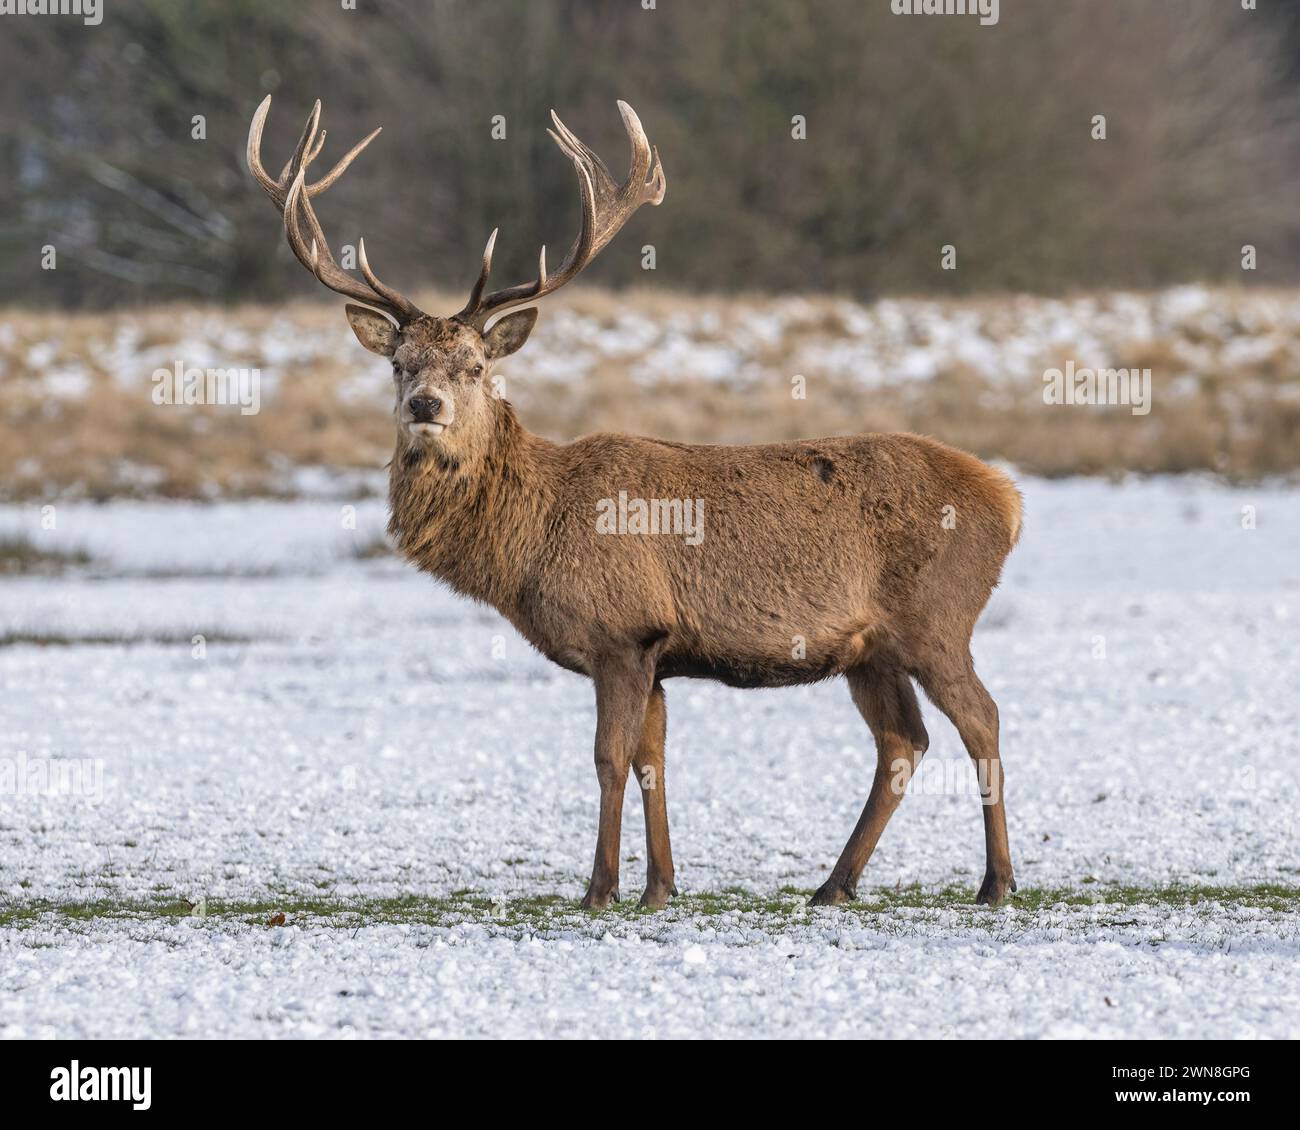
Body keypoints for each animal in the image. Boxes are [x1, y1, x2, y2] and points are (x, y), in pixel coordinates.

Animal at [247, 95, 1022, 910]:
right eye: (399, 363)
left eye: (476, 364)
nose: (426, 404)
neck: (530, 537)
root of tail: (1008, 499)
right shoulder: (656, 651)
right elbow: (654, 760)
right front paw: (660, 886)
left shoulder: (621, 631)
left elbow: (608, 758)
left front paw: (599, 889)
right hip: (870, 648)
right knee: (904, 741)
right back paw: (833, 884)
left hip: (937, 617)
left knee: (982, 718)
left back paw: (995, 880)